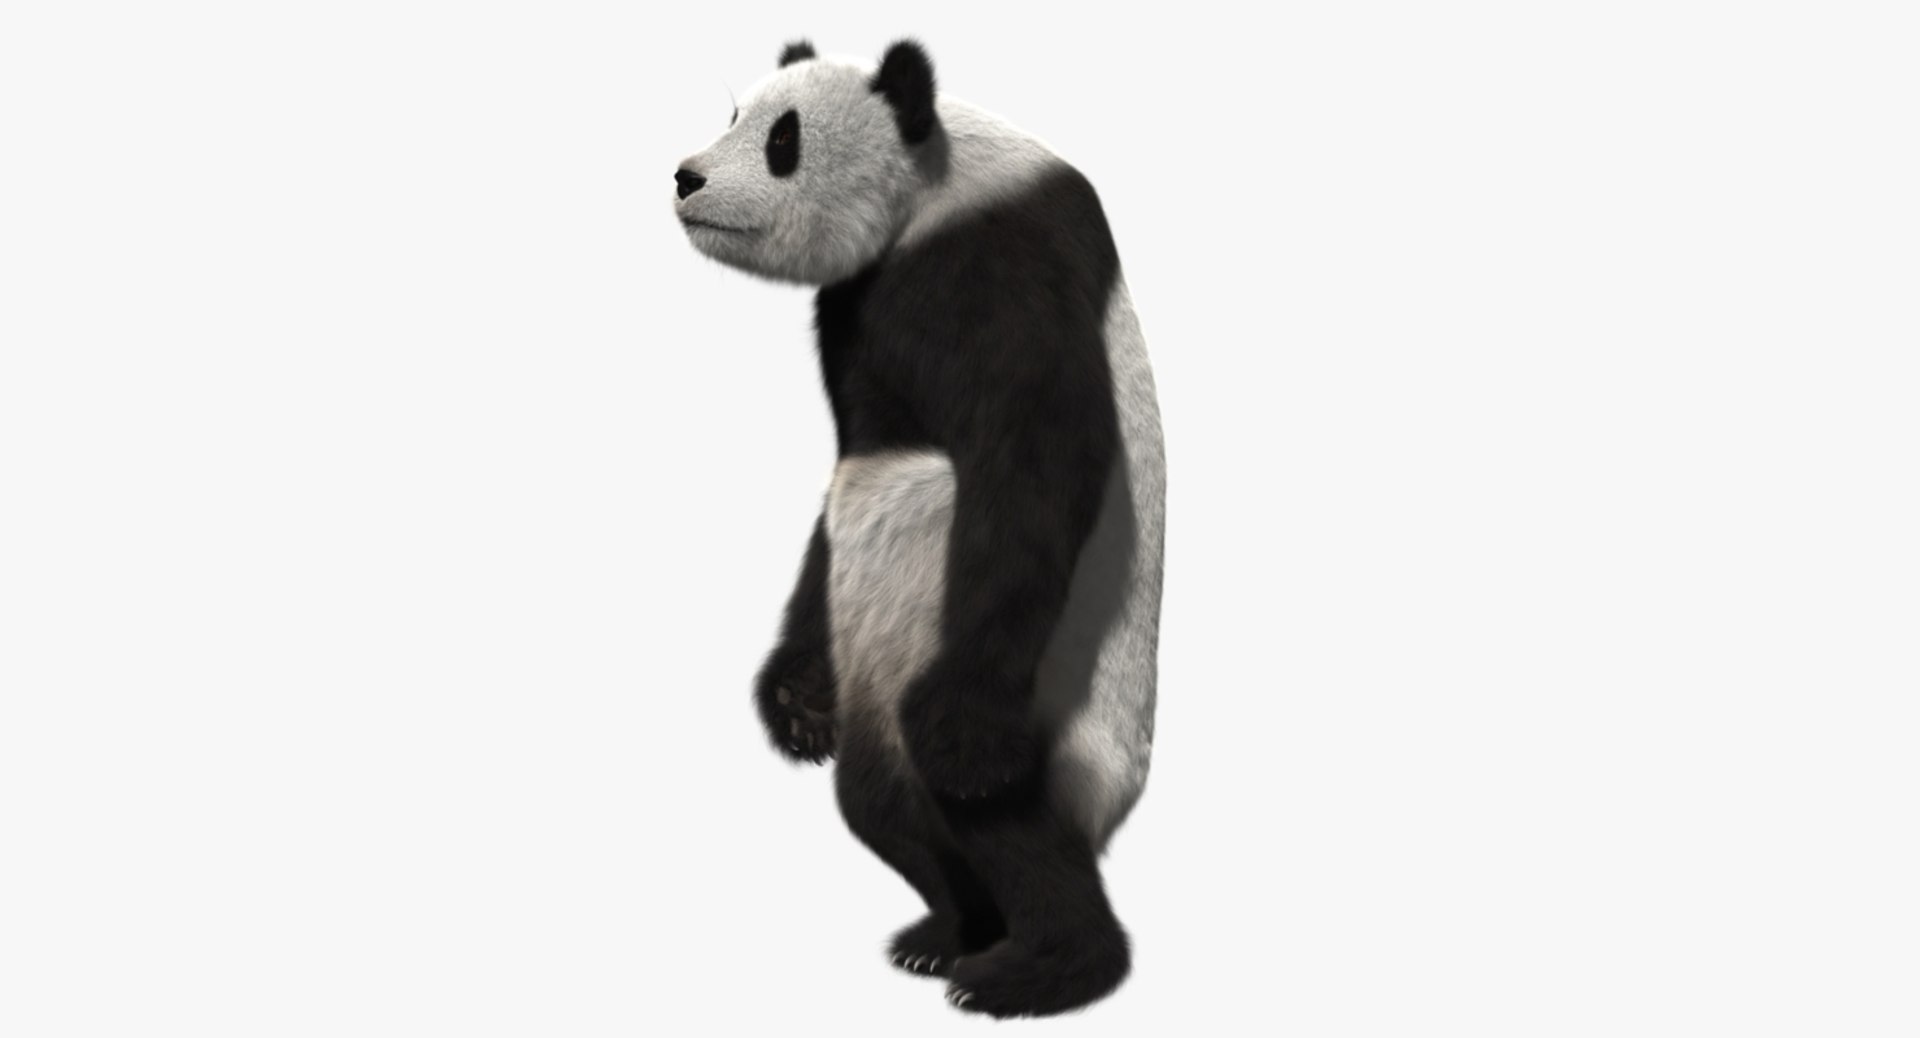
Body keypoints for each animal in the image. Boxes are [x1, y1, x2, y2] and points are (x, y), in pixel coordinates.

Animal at [673, 38, 1165, 1018]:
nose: (687, 176)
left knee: (999, 813)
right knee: (882, 804)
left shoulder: (1012, 267)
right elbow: (845, 476)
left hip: (1052, 708)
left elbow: (1034, 472)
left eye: (783, 138)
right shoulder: (855, 312)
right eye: (735, 115)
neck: (930, 198)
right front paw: (794, 701)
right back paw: (950, 933)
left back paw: (1039, 966)